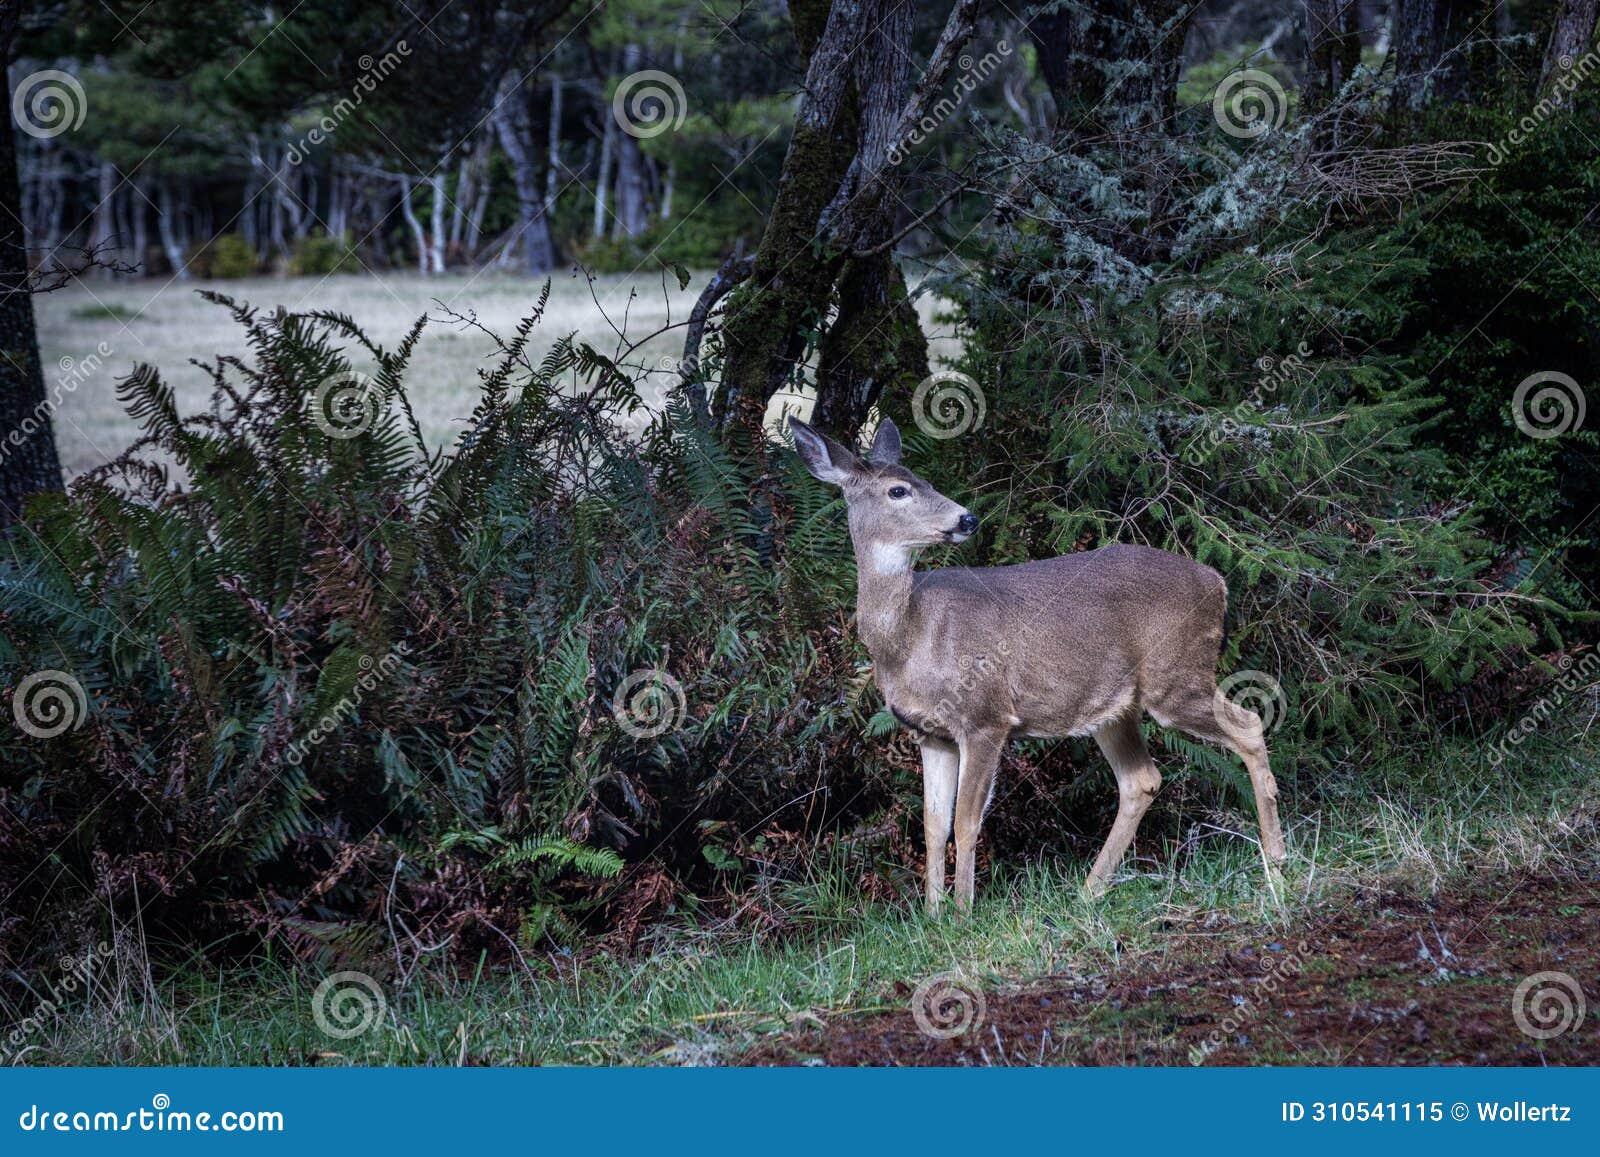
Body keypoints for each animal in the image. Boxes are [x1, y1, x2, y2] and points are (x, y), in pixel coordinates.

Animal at [789, 415, 1287, 914]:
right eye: (898, 489)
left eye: (925, 482)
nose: (967, 519)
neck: (911, 639)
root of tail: (1217, 580)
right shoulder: (930, 734)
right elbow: (933, 827)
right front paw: (931, 916)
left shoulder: (986, 716)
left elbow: (966, 822)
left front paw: (963, 913)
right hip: (1115, 705)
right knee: (1141, 779)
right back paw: (1089, 892)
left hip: (1178, 672)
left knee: (1247, 724)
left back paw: (1278, 865)